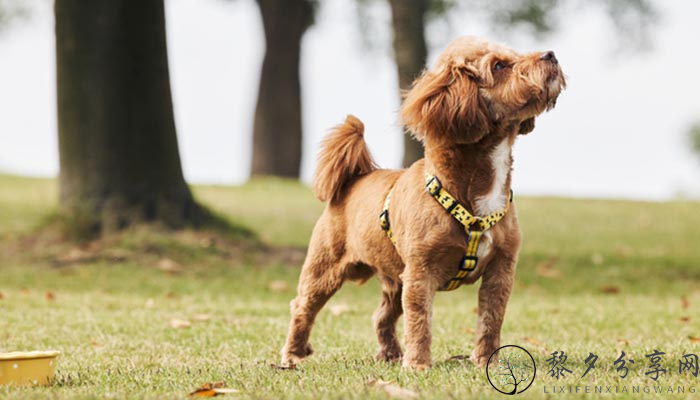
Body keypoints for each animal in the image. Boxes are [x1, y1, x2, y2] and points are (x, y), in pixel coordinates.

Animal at [278, 36, 564, 370]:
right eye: (498, 66)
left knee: (381, 316)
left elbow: (491, 320)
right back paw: (294, 353)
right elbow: (420, 321)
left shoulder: (501, 270)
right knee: (303, 306)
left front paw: (486, 362)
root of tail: (353, 179)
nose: (551, 54)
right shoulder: (420, 273)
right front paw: (418, 365)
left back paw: (390, 353)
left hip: (395, 277)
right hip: (325, 268)